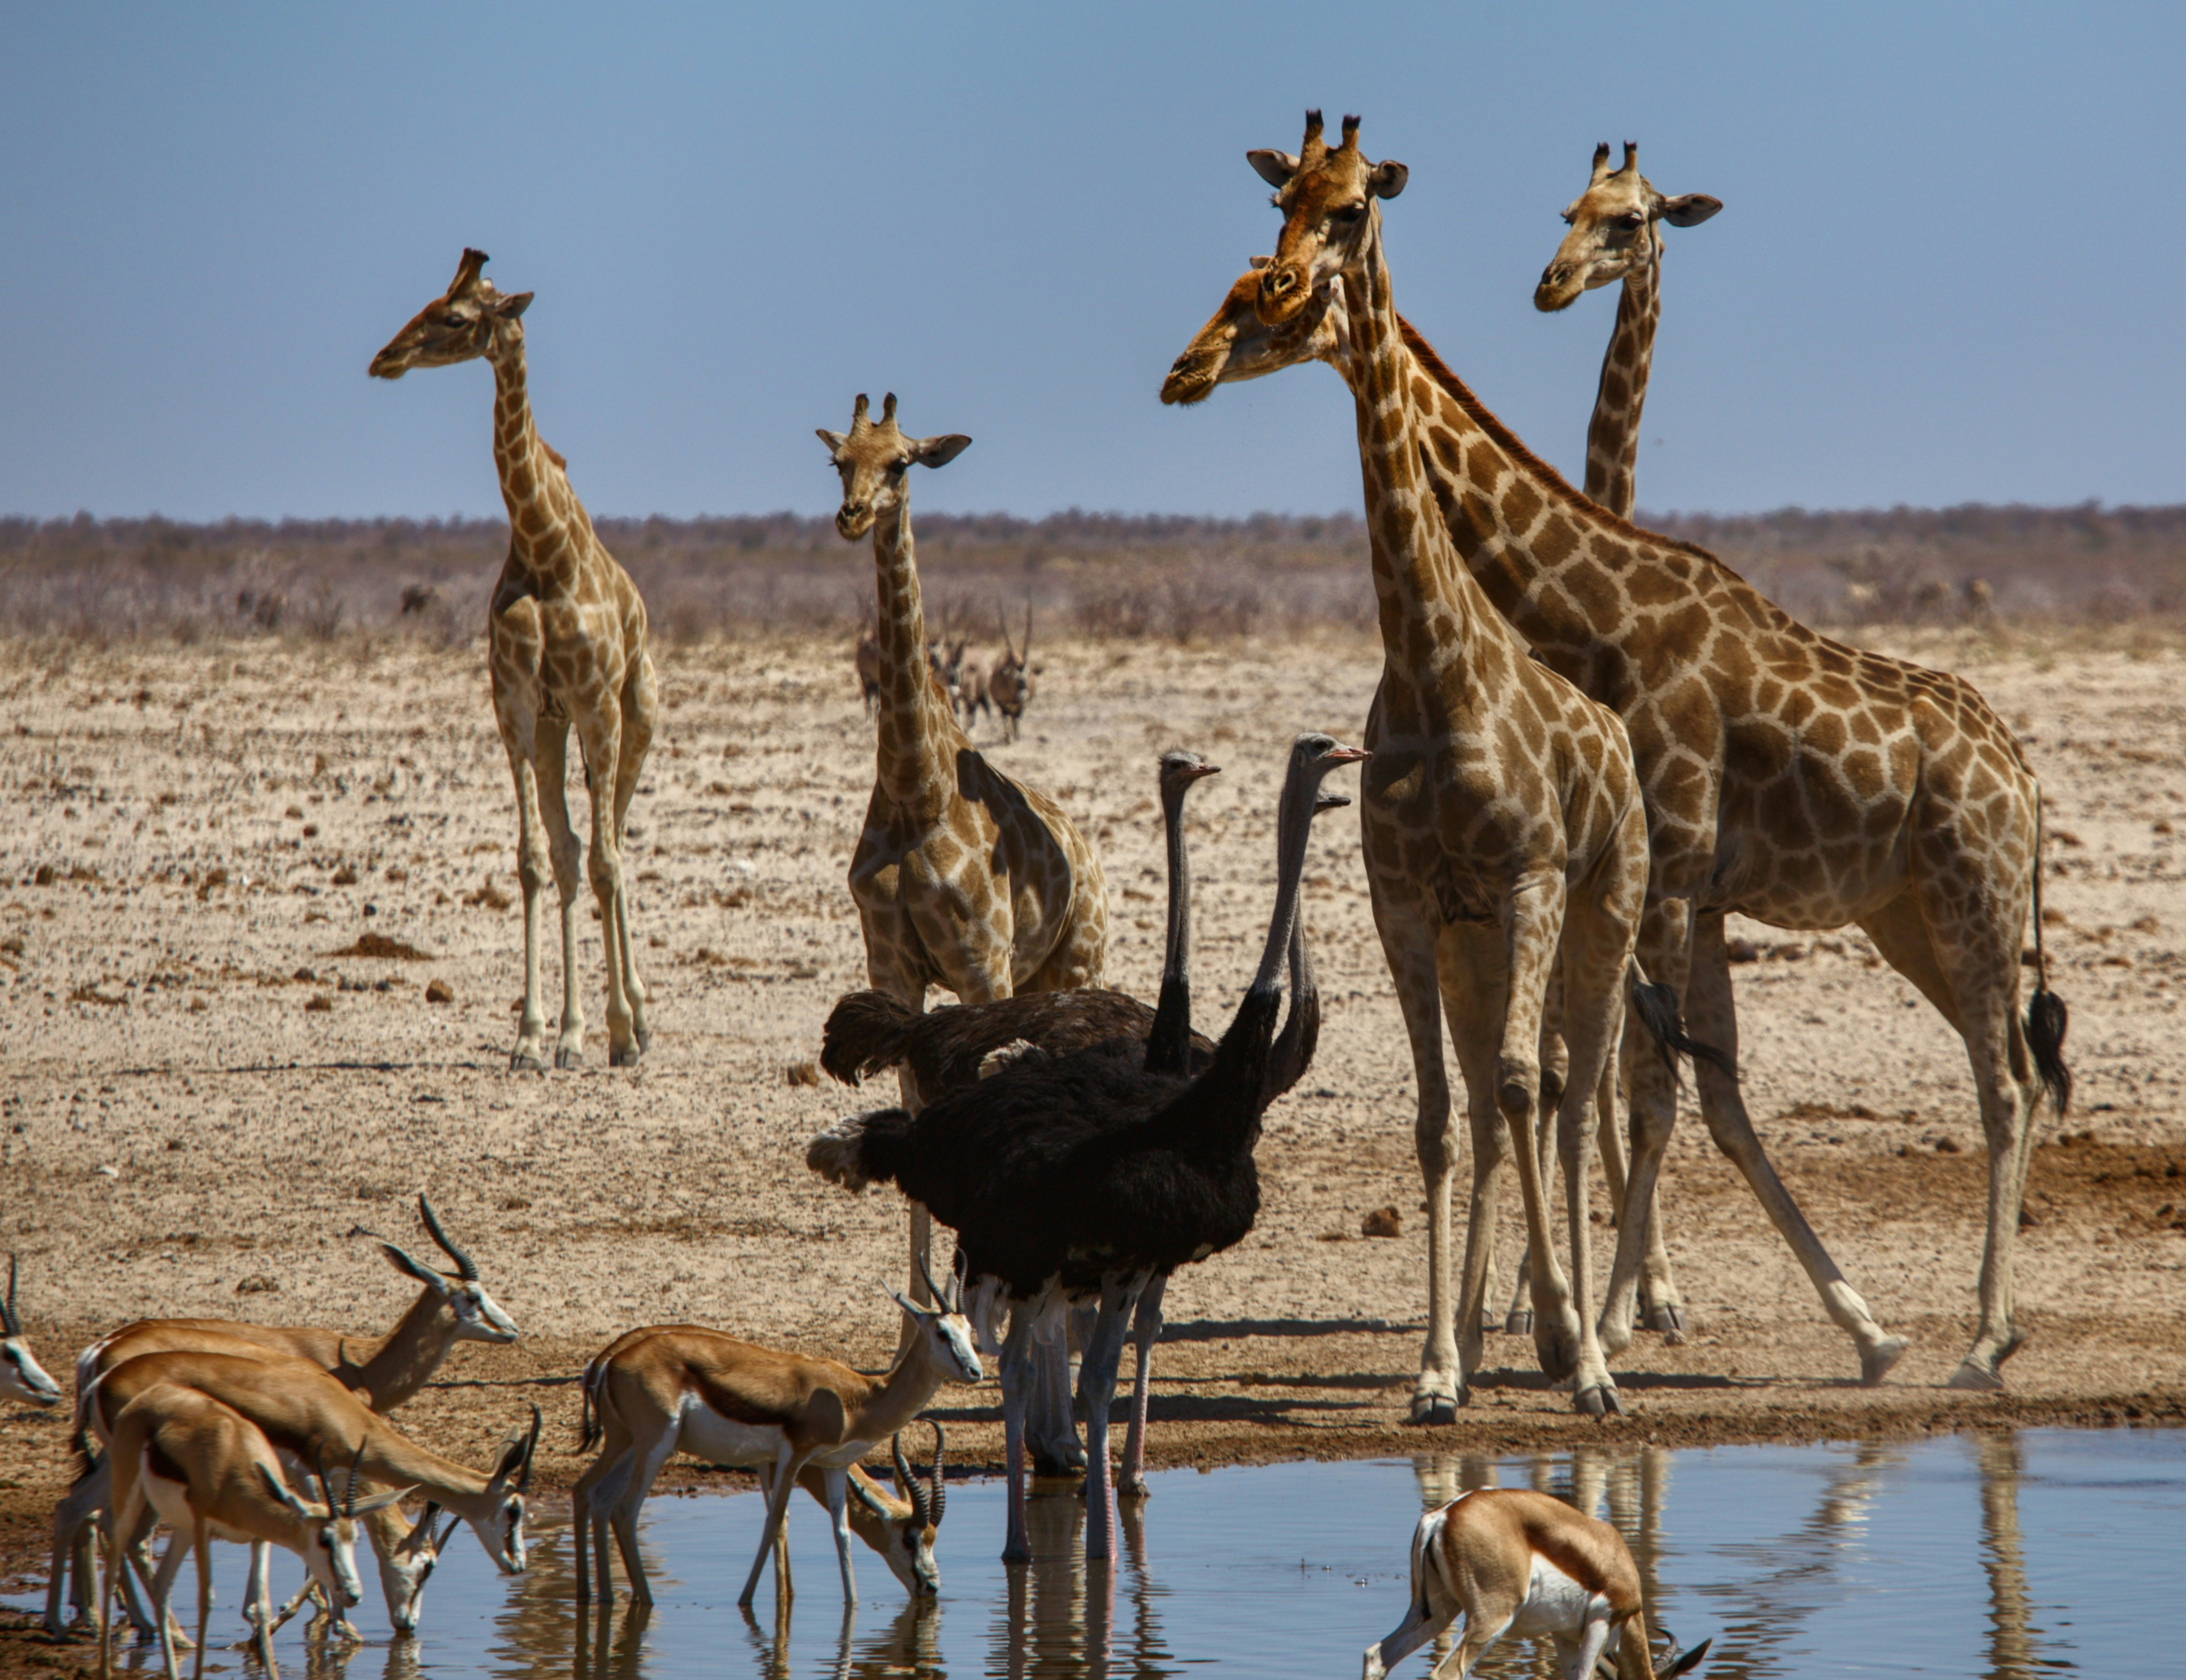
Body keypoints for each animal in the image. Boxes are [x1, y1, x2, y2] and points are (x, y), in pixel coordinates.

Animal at [370, 249, 655, 1071]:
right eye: (428, 301)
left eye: (456, 317)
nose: (385, 358)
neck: (544, 547)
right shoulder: (518, 706)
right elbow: (536, 859)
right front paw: (537, 1035)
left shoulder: (596, 704)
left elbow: (607, 861)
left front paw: (616, 1032)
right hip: (560, 732)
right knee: (571, 851)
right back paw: (579, 1029)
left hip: (634, 720)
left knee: (616, 847)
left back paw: (636, 1020)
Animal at [818, 392, 1109, 1303]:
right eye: (838, 461)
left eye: (901, 462)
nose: (852, 515)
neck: (918, 791)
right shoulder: (891, 967)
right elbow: (915, 1106)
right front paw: (920, 1300)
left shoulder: (984, 965)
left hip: (1073, 966)